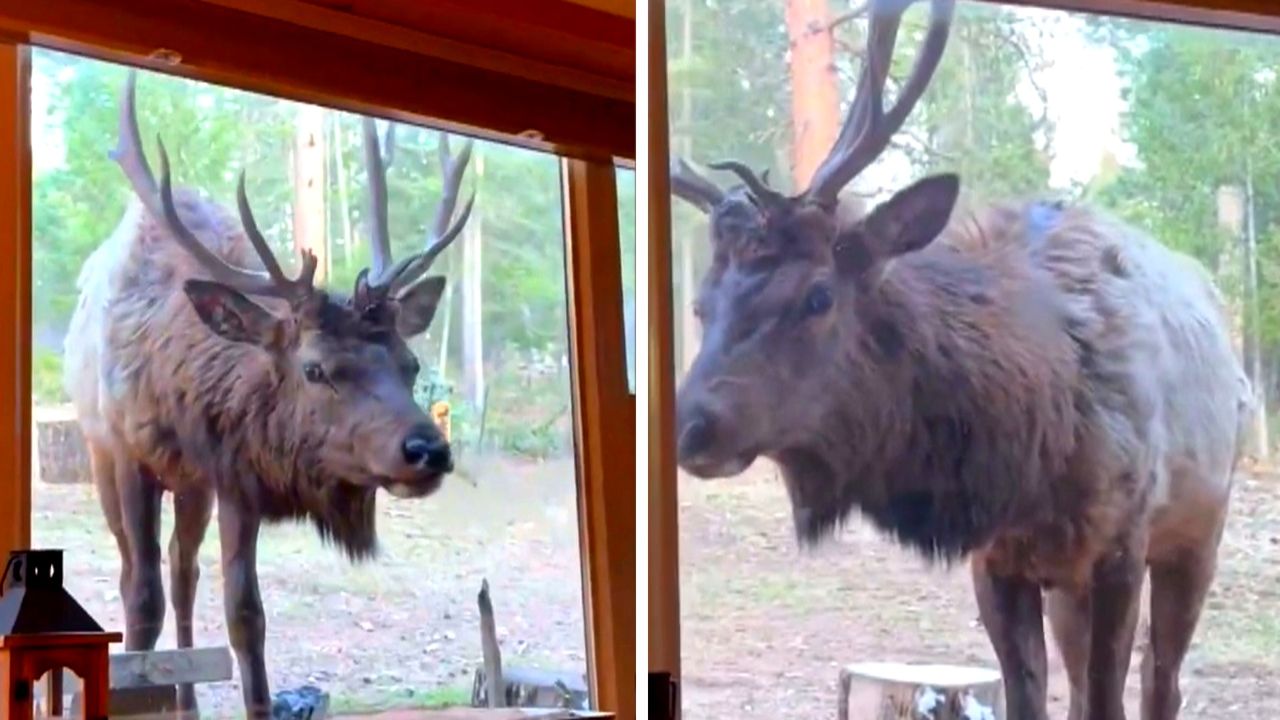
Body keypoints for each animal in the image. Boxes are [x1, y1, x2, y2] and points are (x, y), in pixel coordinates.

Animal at [62, 69, 474, 718]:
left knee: (184, 570)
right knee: (141, 572)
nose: (428, 449)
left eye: (409, 364)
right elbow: (141, 598)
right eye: (314, 368)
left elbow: (246, 615)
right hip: (101, 456)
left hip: (195, 489)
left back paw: (188, 701)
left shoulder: (235, 477)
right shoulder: (128, 455)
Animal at [669, 1, 1251, 718]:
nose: (691, 426)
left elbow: (1110, 693)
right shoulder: (998, 559)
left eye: (818, 294)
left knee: (1161, 680)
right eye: (701, 305)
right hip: (1071, 585)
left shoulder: (1123, 540)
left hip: (1198, 532)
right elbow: (1031, 695)